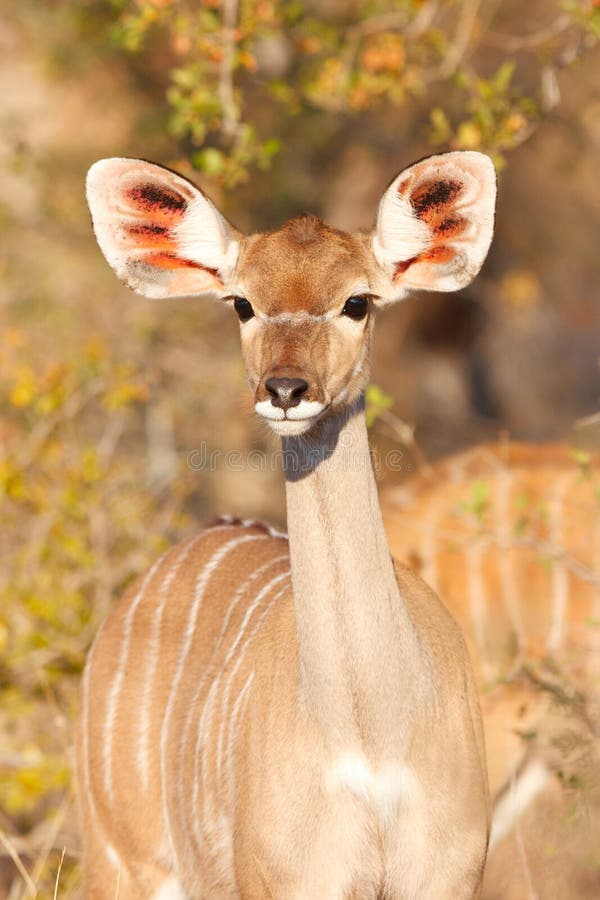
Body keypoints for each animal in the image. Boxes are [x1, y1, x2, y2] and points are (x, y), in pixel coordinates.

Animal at [78, 150, 496, 899]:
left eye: (358, 302)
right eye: (241, 303)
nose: (284, 390)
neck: (369, 736)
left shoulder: (448, 876)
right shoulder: (290, 881)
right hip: (119, 862)